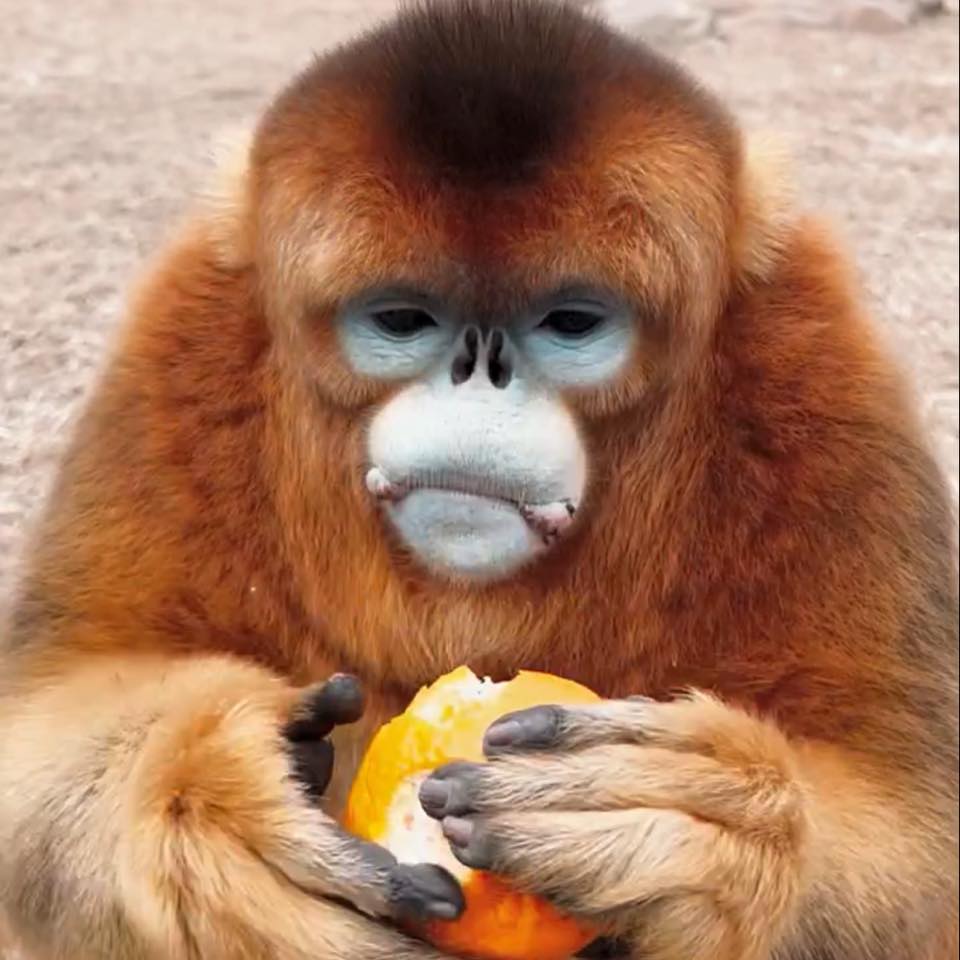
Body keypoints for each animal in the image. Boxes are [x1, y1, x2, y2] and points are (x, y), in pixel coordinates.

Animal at [0, 0, 956, 958]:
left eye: (569, 323)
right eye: (402, 319)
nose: (480, 372)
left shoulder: (818, 375)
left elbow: (917, 839)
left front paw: (714, 828)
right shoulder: (181, 353)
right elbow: (38, 736)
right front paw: (213, 800)